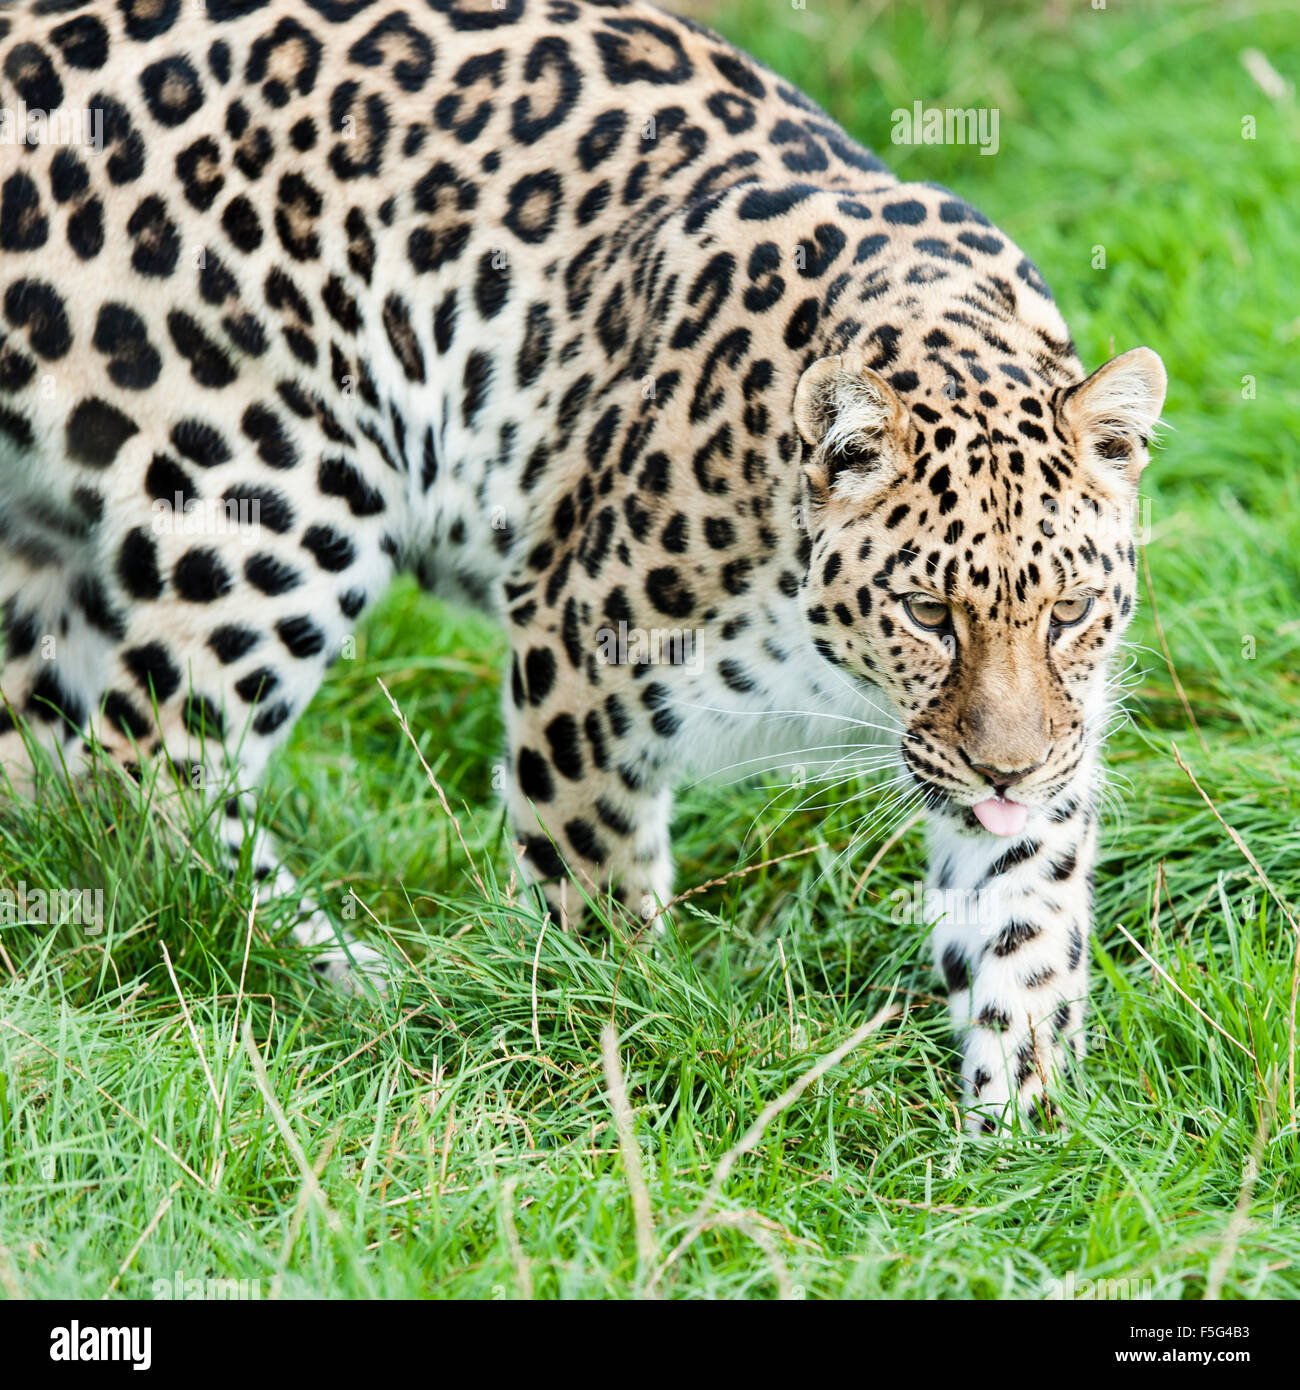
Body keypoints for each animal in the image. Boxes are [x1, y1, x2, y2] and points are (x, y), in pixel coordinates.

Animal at [0, 0, 1166, 1132]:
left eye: (1068, 612)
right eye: (926, 612)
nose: (1005, 769)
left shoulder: (1054, 744)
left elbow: (1024, 924)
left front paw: (1024, 1128)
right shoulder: (581, 649)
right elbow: (594, 888)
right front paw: (622, 1052)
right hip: (280, 492)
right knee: (141, 775)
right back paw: (338, 978)